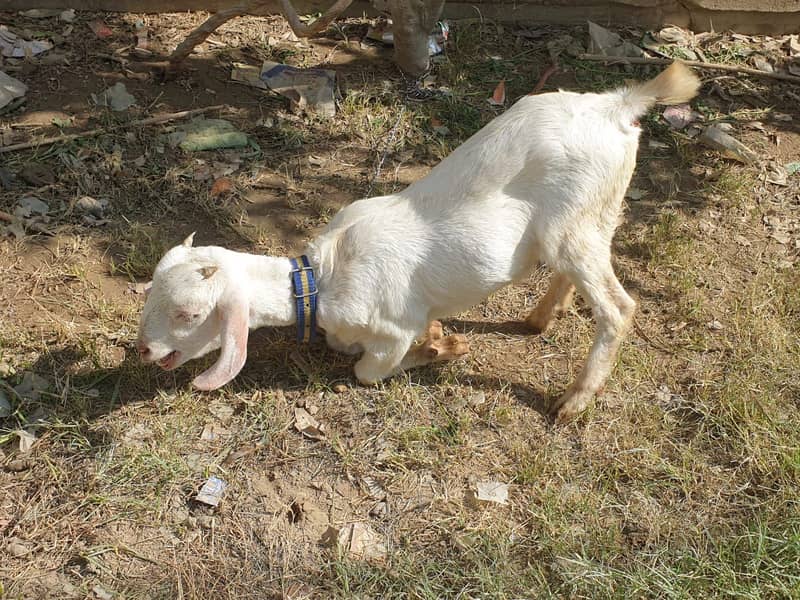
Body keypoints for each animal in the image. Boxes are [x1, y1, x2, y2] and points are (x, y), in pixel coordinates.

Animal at [137, 62, 700, 422]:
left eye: (189, 313)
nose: (143, 349)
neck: (320, 279)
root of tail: (617, 106)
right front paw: (438, 340)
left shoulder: (390, 329)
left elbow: (367, 370)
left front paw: (439, 348)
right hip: (585, 217)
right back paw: (539, 320)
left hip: (576, 221)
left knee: (618, 307)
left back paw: (573, 401)